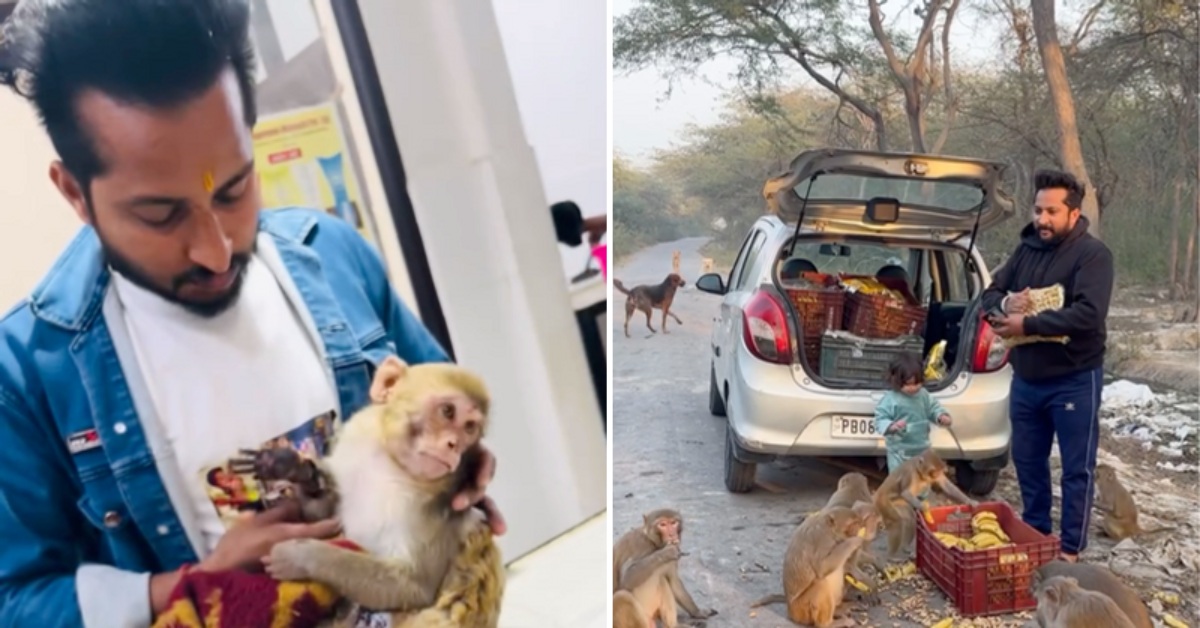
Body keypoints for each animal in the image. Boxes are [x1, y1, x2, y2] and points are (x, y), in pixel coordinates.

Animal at [263, 357, 504, 628]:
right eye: (448, 411)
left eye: (469, 428)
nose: (454, 444)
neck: (391, 464)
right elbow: (325, 516)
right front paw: (298, 473)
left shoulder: (437, 512)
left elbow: (413, 586)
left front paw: (302, 556)